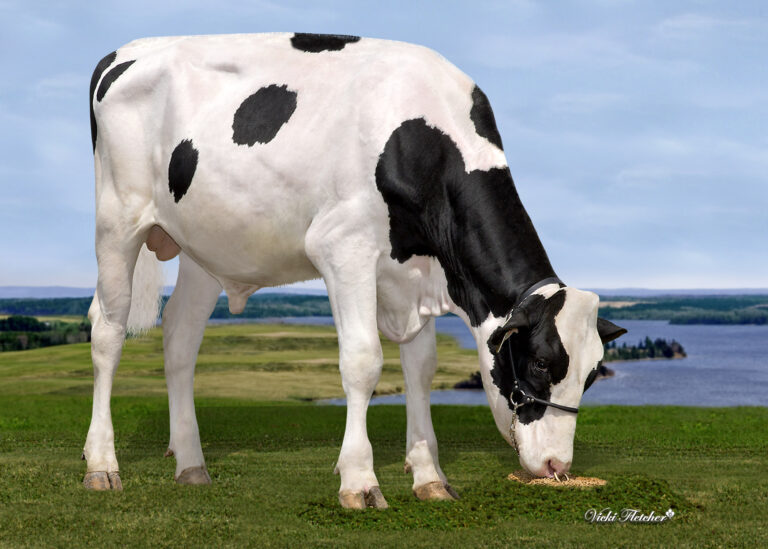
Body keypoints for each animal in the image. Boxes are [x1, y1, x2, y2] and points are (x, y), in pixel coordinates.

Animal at [83, 32, 626, 509]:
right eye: (540, 364)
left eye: (592, 375)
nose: (558, 466)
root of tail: (125, 51)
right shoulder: (344, 249)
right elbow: (363, 362)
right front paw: (360, 482)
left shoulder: (413, 275)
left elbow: (420, 370)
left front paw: (429, 477)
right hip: (118, 222)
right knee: (107, 332)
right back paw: (102, 465)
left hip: (204, 247)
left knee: (180, 338)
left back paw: (192, 465)